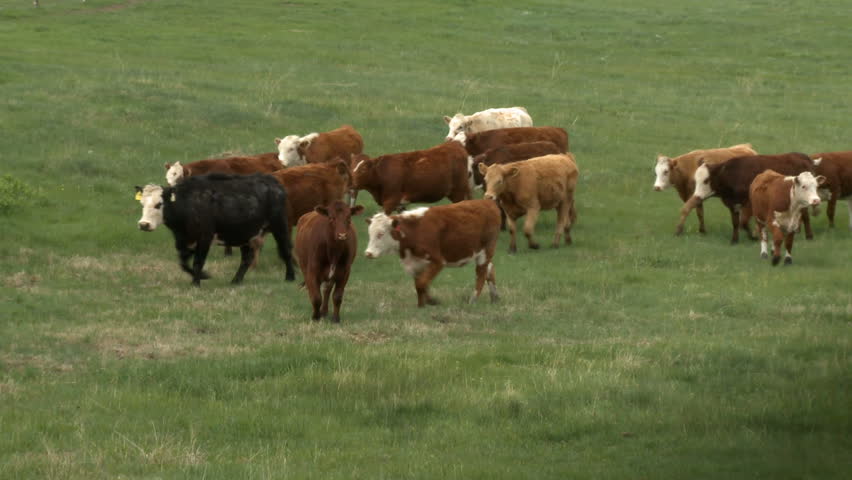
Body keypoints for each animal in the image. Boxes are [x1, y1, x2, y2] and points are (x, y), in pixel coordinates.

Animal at [135, 173, 296, 286]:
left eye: (158, 204)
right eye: (142, 204)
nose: (144, 224)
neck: (189, 203)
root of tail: (273, 182)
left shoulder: (205, 237)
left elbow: (198, 262)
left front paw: (196, 283)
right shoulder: (184, 239)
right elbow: (183, 262)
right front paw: (202, 276)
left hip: (280, 226)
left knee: (286, 250)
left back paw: (290, 277)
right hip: (246, 234)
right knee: (246, 259)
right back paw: (235, 281)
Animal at [364, 200, 501, 307]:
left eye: (380, 234)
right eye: (370, 233)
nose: (368, 253)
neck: (415, 230)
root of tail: (487, 202)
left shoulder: (437, 261)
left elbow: (421, 284)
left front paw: (430, 302)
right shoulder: (415, 265)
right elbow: (420, 284)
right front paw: (423, 304)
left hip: (485, 252)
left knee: (481, 275)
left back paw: (473, 300)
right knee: (490, 270)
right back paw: (495, 298)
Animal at [689, 152, 819, 244]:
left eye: (706, 180)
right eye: (696, 181)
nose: (697, 197)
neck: (731, 174)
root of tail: (802, 156)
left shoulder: (748, 204)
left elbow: (744, 222)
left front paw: (752, 237)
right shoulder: (733, 204)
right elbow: (736, 222)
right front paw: (734, 240)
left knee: (806, 216)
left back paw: (809, 236)